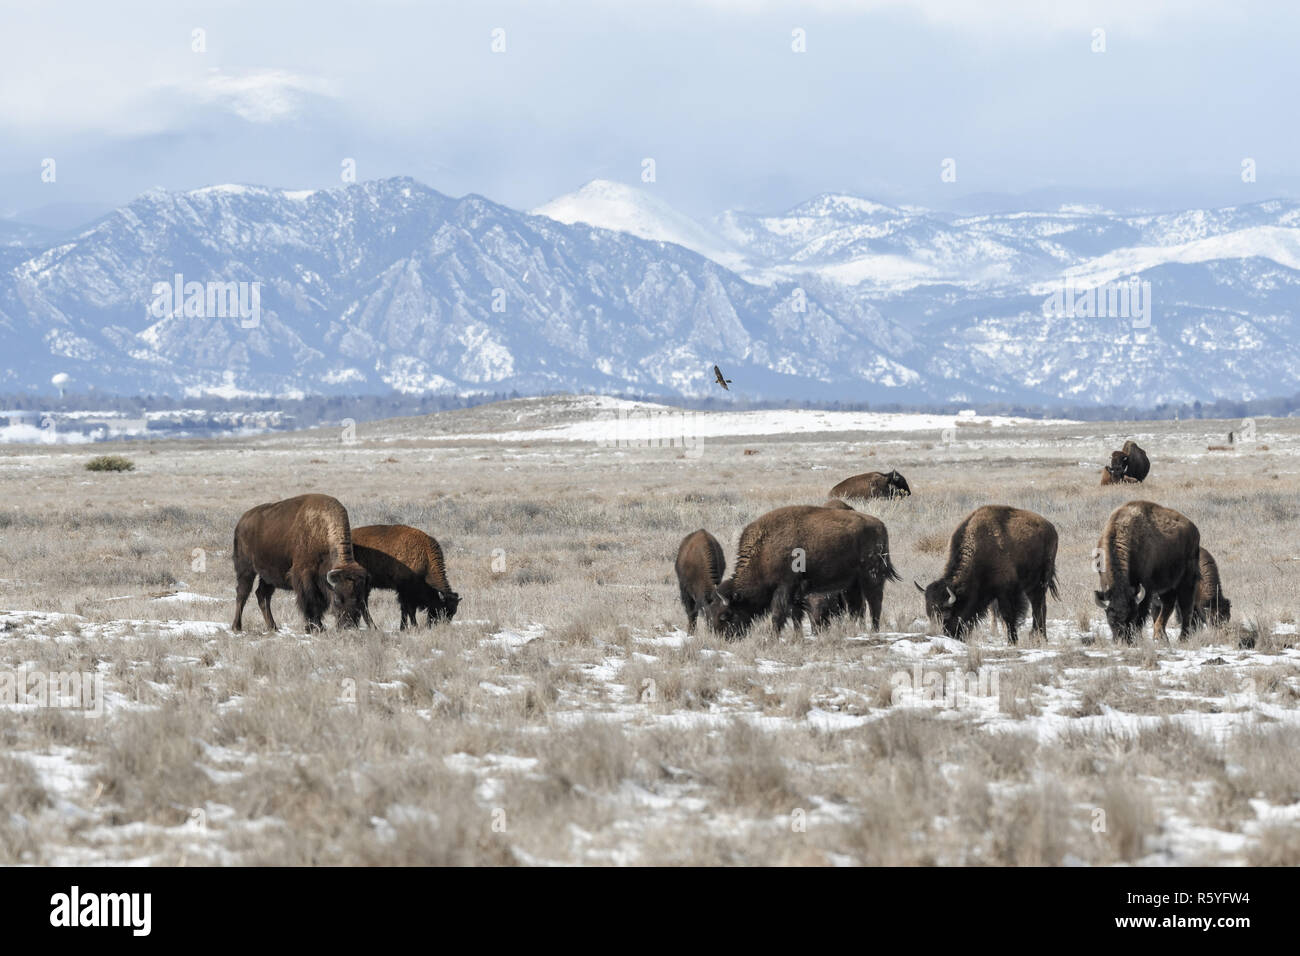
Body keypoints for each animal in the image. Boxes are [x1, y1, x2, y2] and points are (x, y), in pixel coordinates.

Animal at [232, 493, 373, 632]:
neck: (323, 530)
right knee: (242, 594)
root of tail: (241, 522)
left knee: (263, 595)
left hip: (267, 576)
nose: (348, 626)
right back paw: (237, 627)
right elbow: (311, 602)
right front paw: (316, 628)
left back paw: (273, 627)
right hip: (246, 569)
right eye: (337, 599)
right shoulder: (305, 576)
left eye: (360, 599)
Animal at [705, 505, 899, 637]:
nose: (723, 637)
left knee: (874, 603)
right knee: (856, 608)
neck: (764, 549)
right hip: (852, 583)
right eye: (711, 612)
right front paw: (797, 636)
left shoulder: (784, 588)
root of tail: (880, 525)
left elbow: (778, 614)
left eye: (725, 615)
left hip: (871, 577)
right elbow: (795, 615)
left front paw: (773, 637)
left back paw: (874, 631)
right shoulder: (796, 593)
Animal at [915, 505, 1058, 644]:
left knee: (1039, 607)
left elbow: (1008, 615)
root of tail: (1051, 529)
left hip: (1040, 581)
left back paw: (1040, 638)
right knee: (1038, 606)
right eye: (929, 613)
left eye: (946, 613)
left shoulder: (1007, 591)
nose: (948, 635)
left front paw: (1012, 641)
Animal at [1094, 500, 1200, 643]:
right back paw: (1163, 637)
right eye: (1111, 619)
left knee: (1186, 607)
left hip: (1186, 581)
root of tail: (1194, 529)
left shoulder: (1146, 588)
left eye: (1131, 616)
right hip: (1167, 586)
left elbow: (1142, 613)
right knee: (1168, 605)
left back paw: (1182, 638)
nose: (1123, 640)